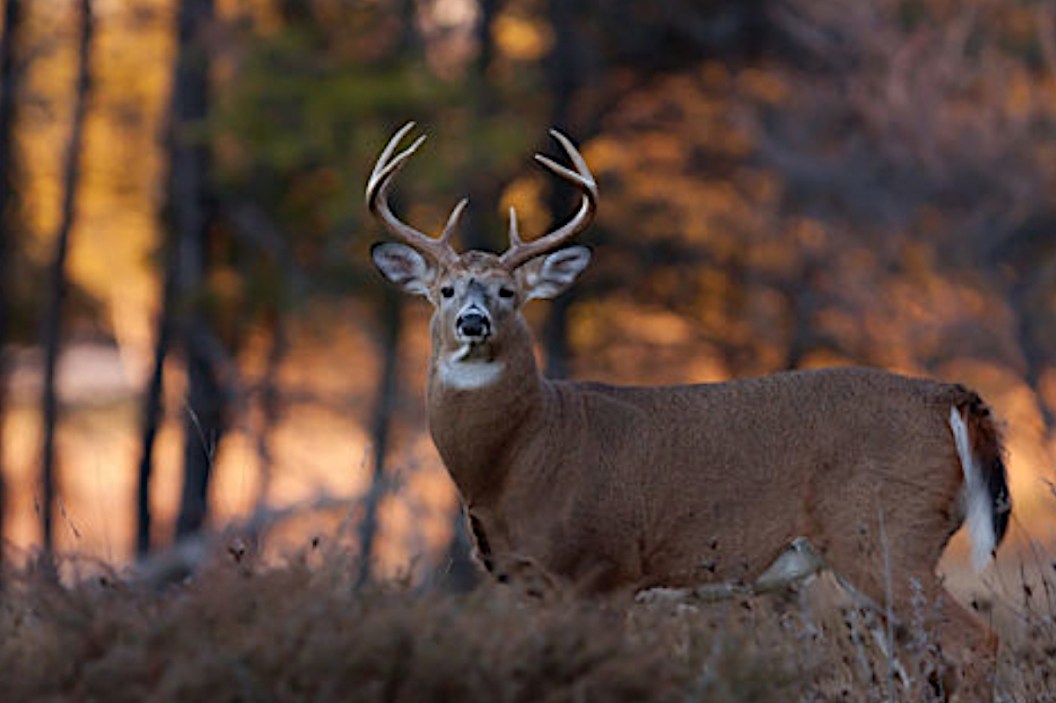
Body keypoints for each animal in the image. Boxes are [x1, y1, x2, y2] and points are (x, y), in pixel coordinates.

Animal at [366, 122, 1012, 700]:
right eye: (446, 291)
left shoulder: (602, 568)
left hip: (886, 534)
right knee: (923, 664)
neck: (522, 454)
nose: (472, 322)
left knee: (977, 641)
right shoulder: (531, 583)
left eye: (508, 293)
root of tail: (951, 398)